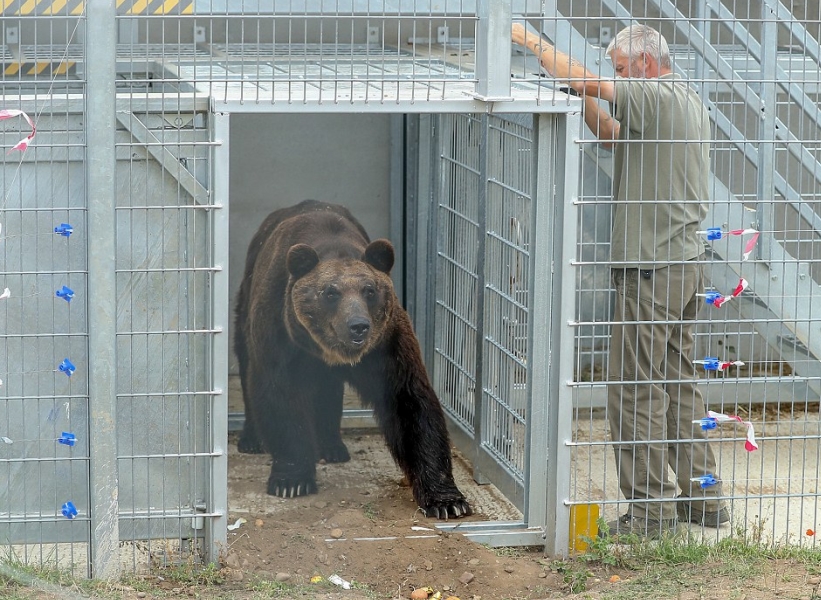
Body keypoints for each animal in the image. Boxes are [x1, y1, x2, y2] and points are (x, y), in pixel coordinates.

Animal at [234, 199, 472, 519]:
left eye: (369, 290)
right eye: (330, 292)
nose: (358, 326)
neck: (327, 350)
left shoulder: (386, 345)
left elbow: (410, 402)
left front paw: (447, 500)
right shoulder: (281, 332)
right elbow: (279, 395)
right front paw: (291, 479)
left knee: (328, 393)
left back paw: (333, 445)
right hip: (247, 303)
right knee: (246, 362)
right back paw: (251, 439)